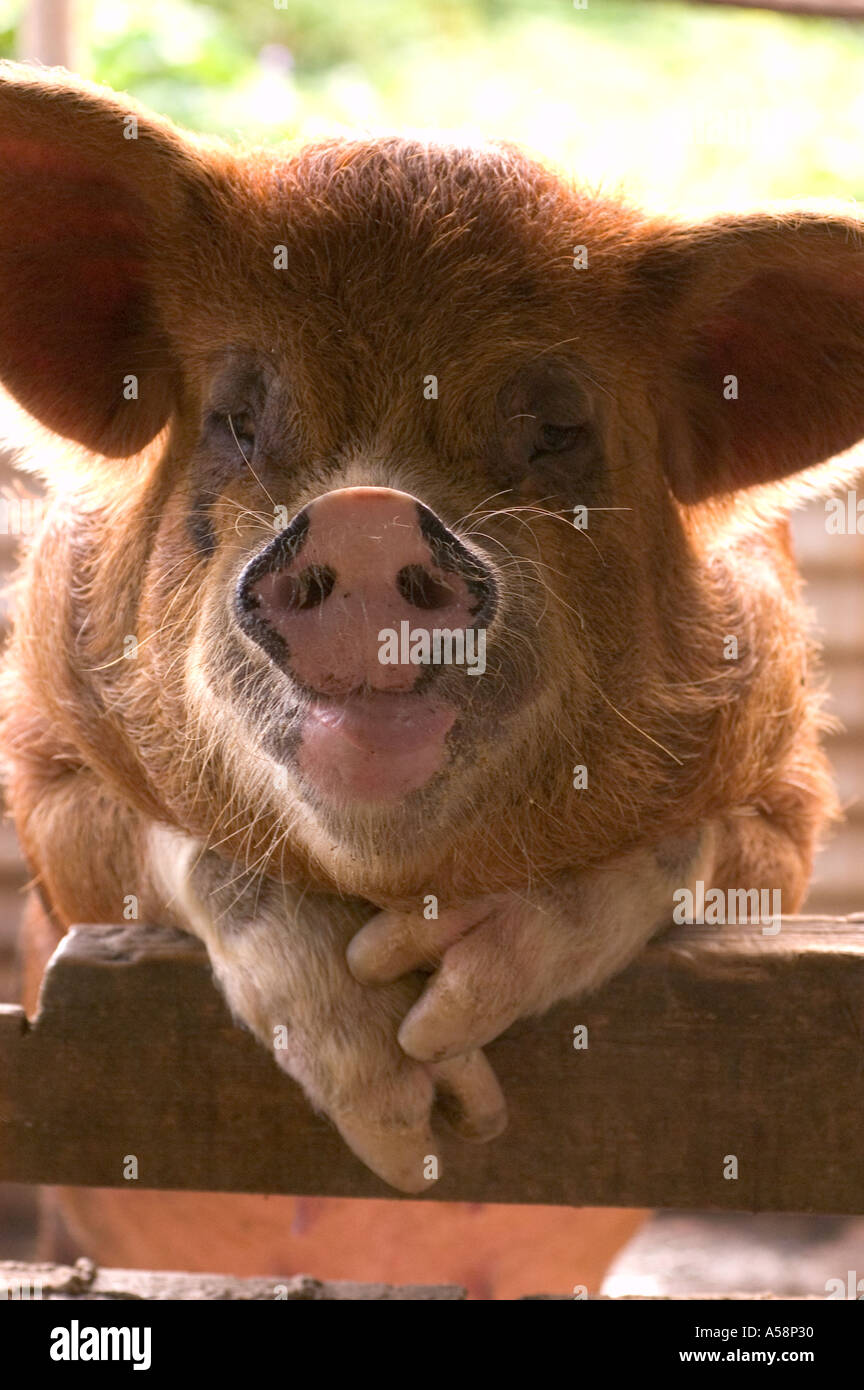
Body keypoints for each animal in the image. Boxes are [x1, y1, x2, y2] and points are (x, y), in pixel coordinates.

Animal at [0, 63, 858, 1288]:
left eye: (556, 430)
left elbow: (694, 854)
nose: (366, 515)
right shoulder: (44, 762)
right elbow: (149, 858)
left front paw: (438, 1030)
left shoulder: (789, 786)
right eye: (237, 417)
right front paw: (401, 1111)